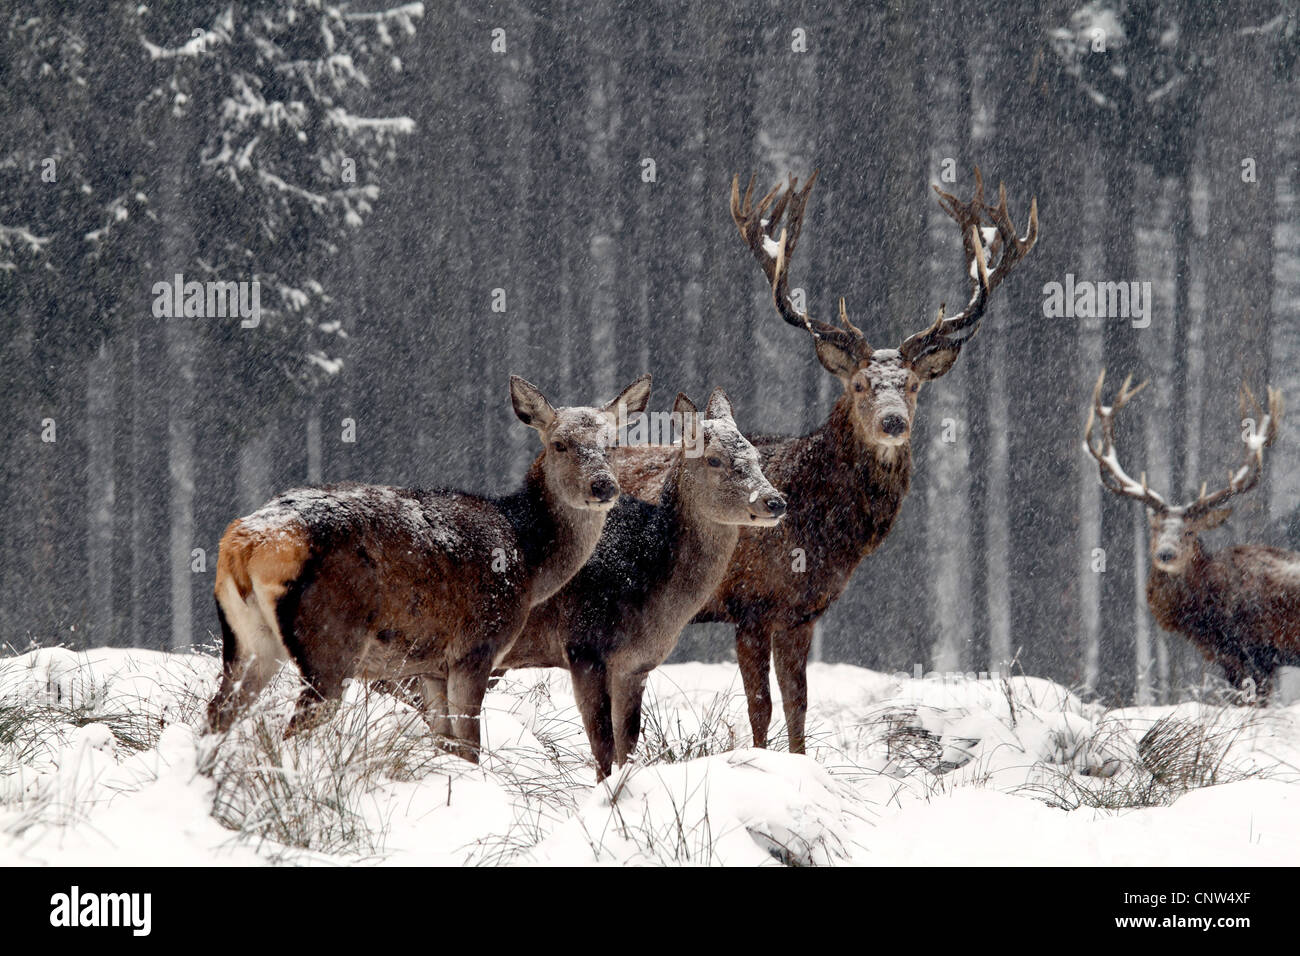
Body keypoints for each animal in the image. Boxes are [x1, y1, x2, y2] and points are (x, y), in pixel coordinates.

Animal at [204, 373, 653, 761]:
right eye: (560, 443)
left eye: (613, 443)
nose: (603, 486)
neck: (529, 563)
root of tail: (247, 541)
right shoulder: (476, 647)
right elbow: (469, 748)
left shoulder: (431, 668)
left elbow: (445, 744)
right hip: (330, 640)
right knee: (294, 726)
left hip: (248, 640)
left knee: (217, 713)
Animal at [500, 389, 785, 779]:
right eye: (714, 459)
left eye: (756, 456)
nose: (775, 501)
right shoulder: (582, 645)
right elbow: (602, 747)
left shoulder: (636, 665)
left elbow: (628, 744)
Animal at [612, 170, 1038, 754]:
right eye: (858, 384)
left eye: (912, 385)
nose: (892, 422)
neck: (814, 534)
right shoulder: (750, 605)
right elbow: (760, 708)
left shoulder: (803, 613)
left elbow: (798, 706)